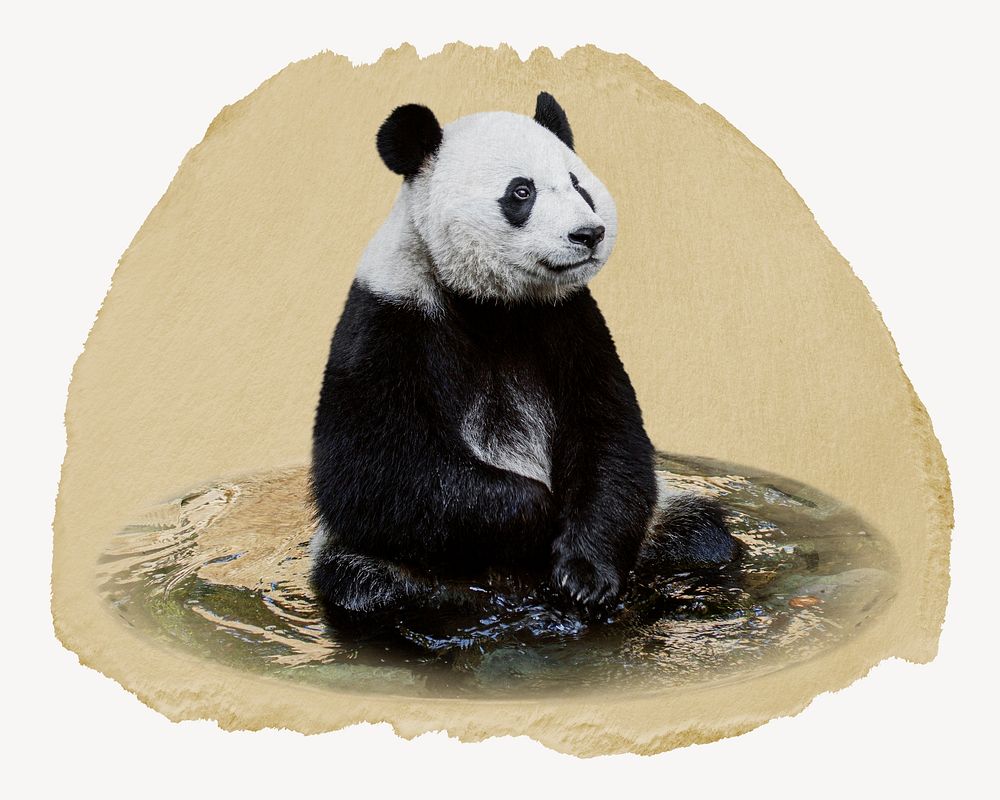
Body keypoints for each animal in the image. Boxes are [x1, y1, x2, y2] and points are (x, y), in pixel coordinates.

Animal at [309, 92, 739, 627]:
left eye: (579, 185)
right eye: (521, 192)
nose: (588, 234)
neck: (492, 304)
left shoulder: (569, 321)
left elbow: (611, 439)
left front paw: (585, 576)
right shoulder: (387, 319)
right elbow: (371, 470)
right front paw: (539, 515)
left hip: (660, 527)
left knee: (701, 535)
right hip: (377, 558)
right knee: (365, 586)